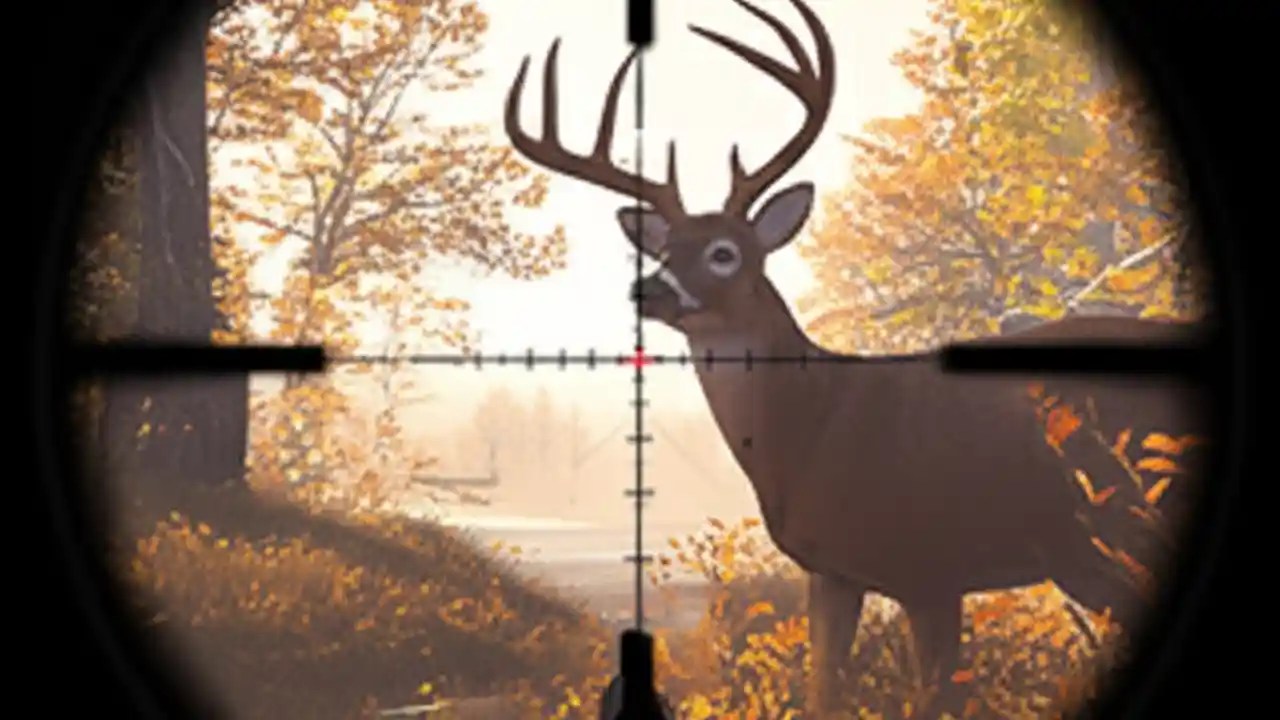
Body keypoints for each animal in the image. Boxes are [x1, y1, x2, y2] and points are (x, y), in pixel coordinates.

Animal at [504, 0, 1208, 716]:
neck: (812, 426)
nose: (647, 288)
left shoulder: (929, 565)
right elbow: (825, 690)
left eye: (724, 252)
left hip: (1116, 521)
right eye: (666, 249)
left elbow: (931, 699)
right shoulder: (833, 571)